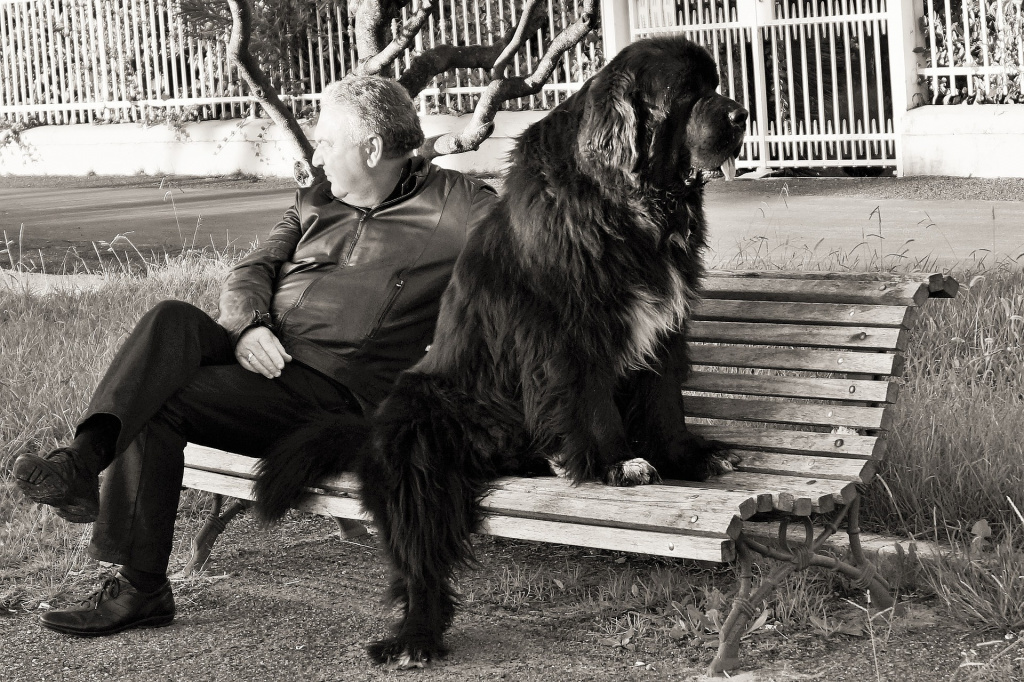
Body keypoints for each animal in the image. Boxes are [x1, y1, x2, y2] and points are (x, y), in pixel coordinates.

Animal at [354, 35, 753, 663]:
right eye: (688, 92)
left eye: (713, 84)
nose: (743, 114)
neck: (626, 201)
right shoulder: (569, 331)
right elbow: (592, 403)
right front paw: (616, 463)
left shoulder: (665, 323)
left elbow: (665, 401)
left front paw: (689, 455)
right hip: (419, 431)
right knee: (419, 543)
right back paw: (417, 633)